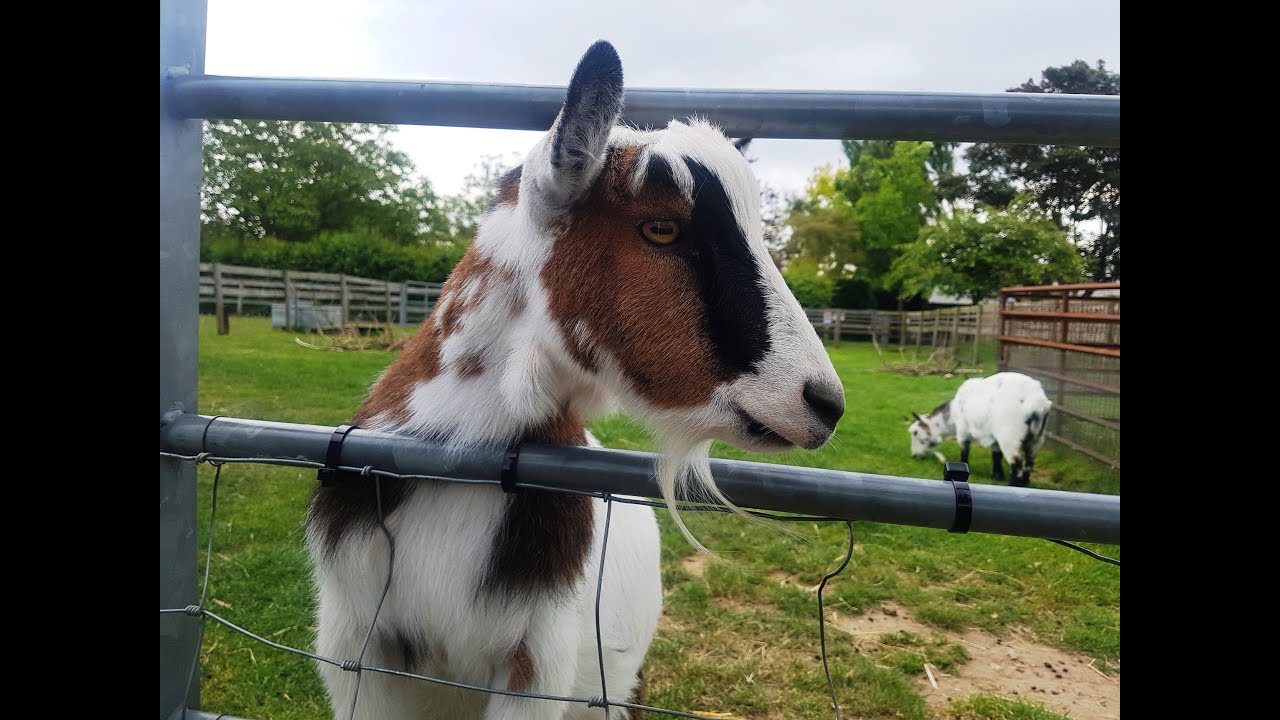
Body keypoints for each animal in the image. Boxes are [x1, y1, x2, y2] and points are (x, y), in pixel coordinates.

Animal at [908, 372, 1051, 486]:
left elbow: (964, 452)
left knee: (1016, 464)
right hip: (1036, 439)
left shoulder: (963, 431)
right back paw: (1024, 483)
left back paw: (1013, 485)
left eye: (915, 433)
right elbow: (996, 455)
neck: (952, 415)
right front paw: (997, 476)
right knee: (1029, 463)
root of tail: (1035, 403)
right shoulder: (994, 438)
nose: (914, 456)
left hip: (1010, 436)